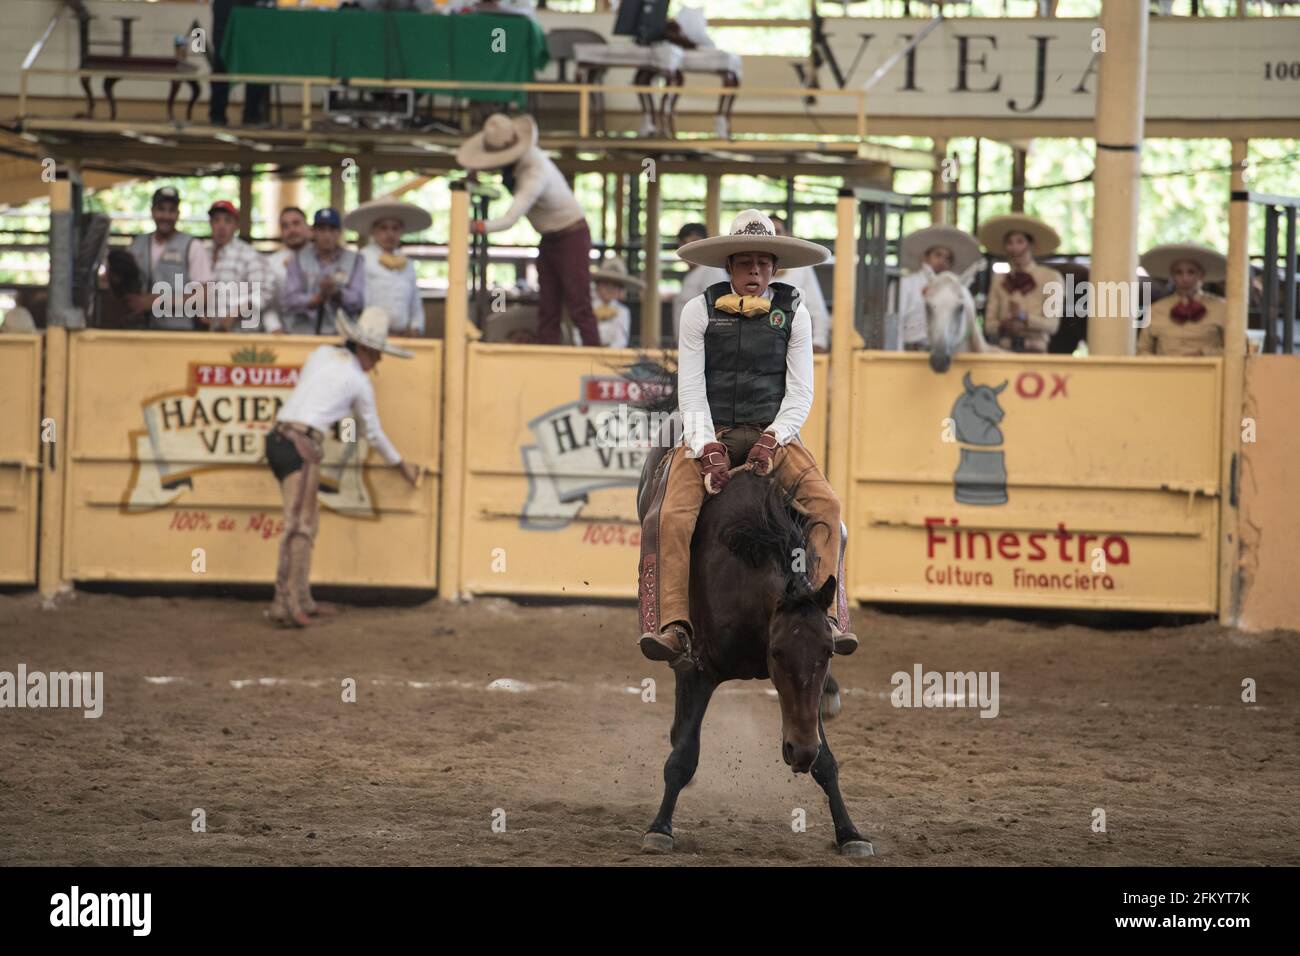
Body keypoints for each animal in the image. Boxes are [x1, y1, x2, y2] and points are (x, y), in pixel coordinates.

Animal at [636, 465, 872, 858]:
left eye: (826, 652)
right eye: (777, 651)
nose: (800, 751)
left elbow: (826, 762)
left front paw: (850, 833)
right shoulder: (700, 671)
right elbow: (684, 757)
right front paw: (659, 829)